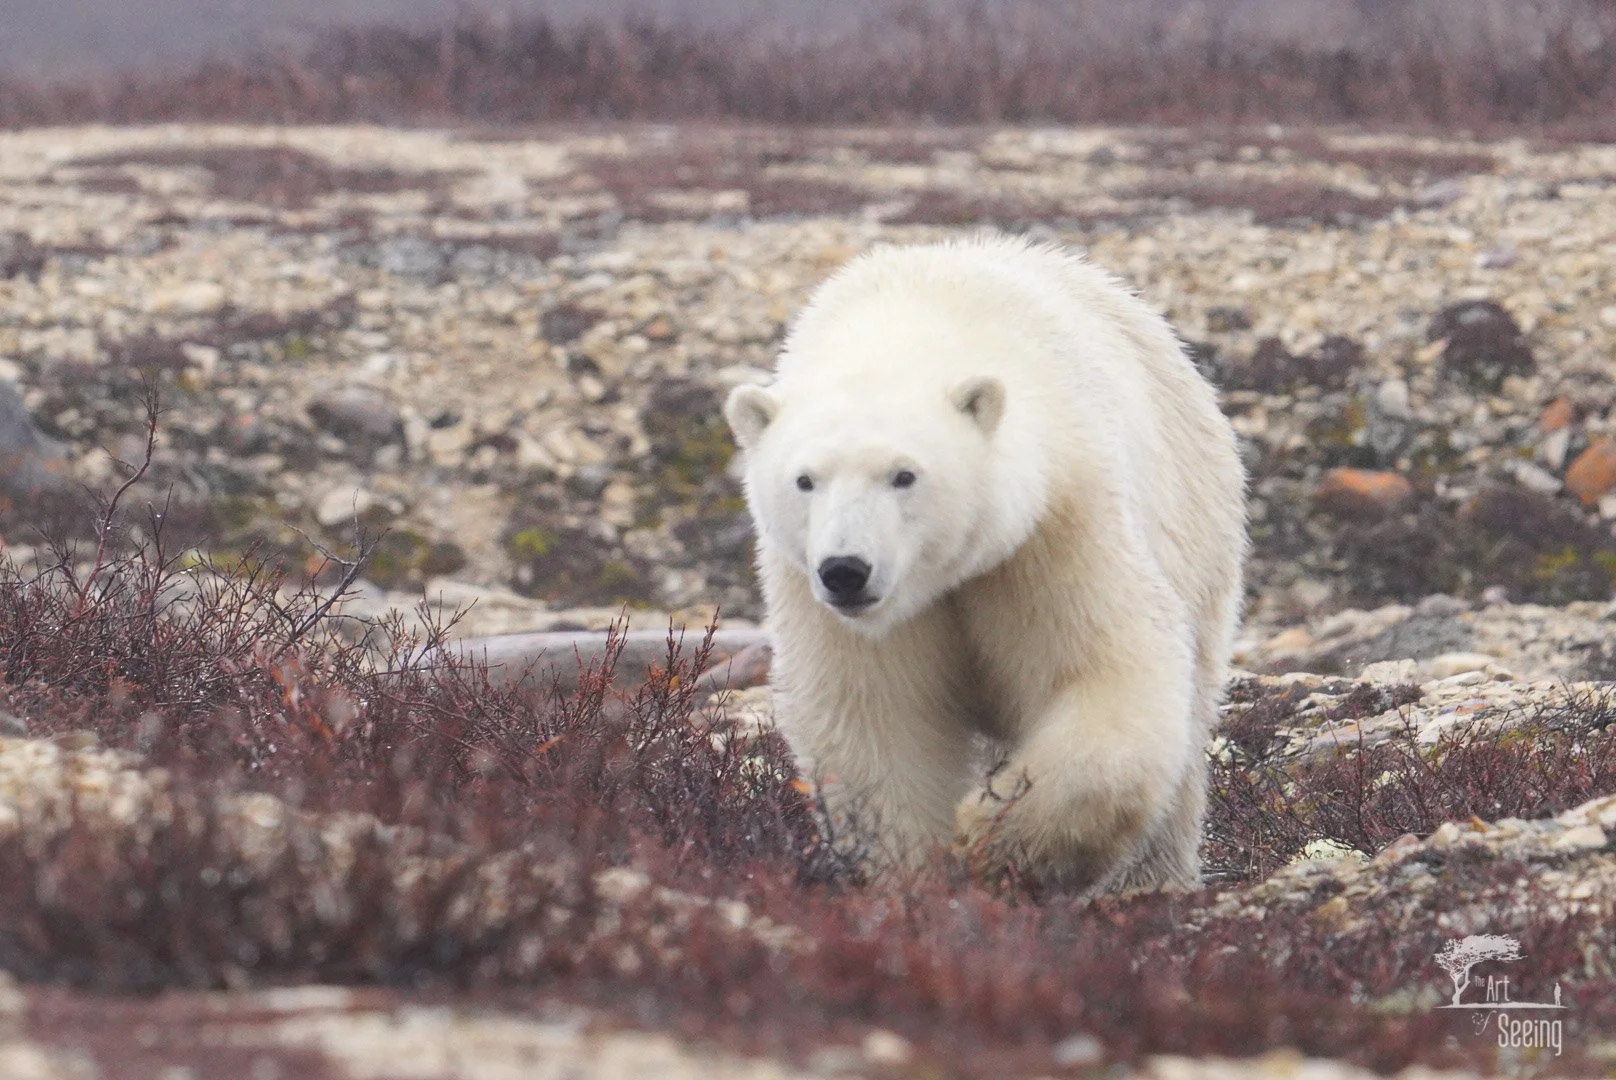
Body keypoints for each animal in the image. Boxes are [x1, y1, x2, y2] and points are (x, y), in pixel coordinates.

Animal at [723, 233, 1247, 894]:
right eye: (804, 480)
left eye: (904, 475)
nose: (845, 570)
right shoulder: (825, 602)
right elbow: (875, 716)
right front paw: (915, 877)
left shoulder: (1055, 529)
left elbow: (1107, 671)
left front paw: (990, 841)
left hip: (1199, 522)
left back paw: (1152, 881)